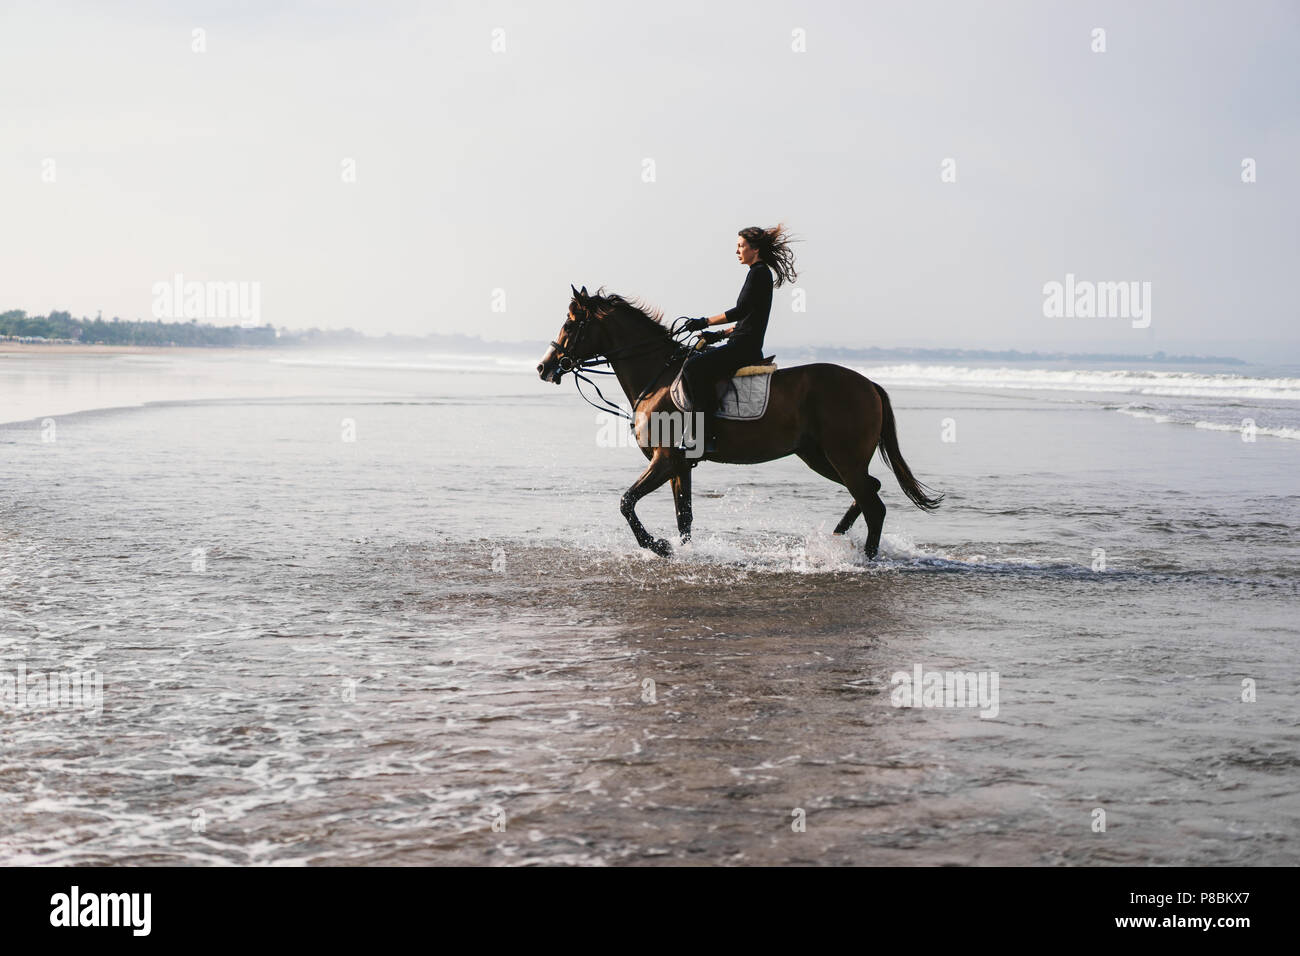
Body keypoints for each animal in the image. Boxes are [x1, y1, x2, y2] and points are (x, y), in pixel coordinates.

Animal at [537, 285, 942, 559]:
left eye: (570, 324)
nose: (544, 367)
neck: (658, 377)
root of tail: (869, 384)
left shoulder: (665, 460)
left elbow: (626, 502)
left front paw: (658, 547)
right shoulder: (680, 465)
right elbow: (684, 516)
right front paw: (684, 553)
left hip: (842, 457)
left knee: (874, 504)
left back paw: (863, 558)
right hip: (819, 456)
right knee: (868, 491)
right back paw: (834, 539)